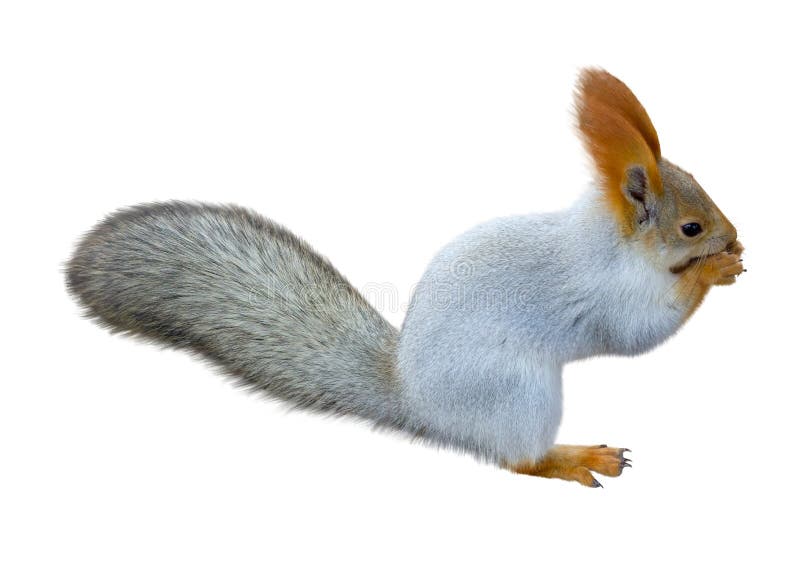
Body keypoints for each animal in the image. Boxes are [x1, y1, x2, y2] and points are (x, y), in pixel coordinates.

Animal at [66, 69, 744, 487]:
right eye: (690, 227)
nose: (732, 236)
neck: (614, 242)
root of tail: (417, 402)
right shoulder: (606, 294)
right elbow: (641, 330)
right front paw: (715, 270)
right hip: (520, 393)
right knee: (516, 461)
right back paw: (571, 457)